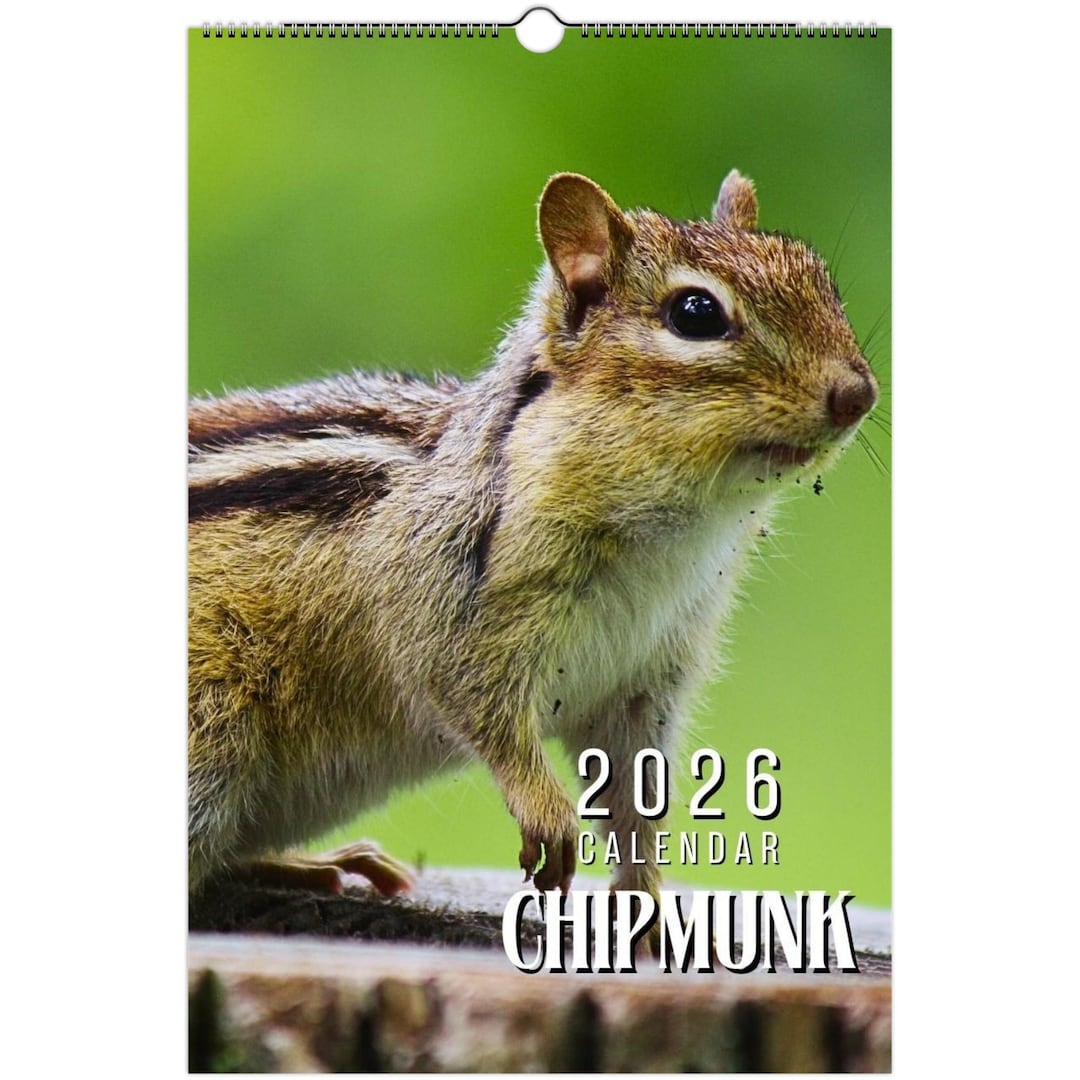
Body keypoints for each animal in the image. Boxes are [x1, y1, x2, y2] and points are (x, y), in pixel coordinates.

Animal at [189, 170, 877, 907]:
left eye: (822, 280)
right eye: (696, 314)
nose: (857, 395)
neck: (681, 530)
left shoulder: (650, 673)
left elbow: (635, 793)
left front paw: (648, 903)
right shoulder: (446, 608)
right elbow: (477, 709)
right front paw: (548, 815)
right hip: (214, 739)